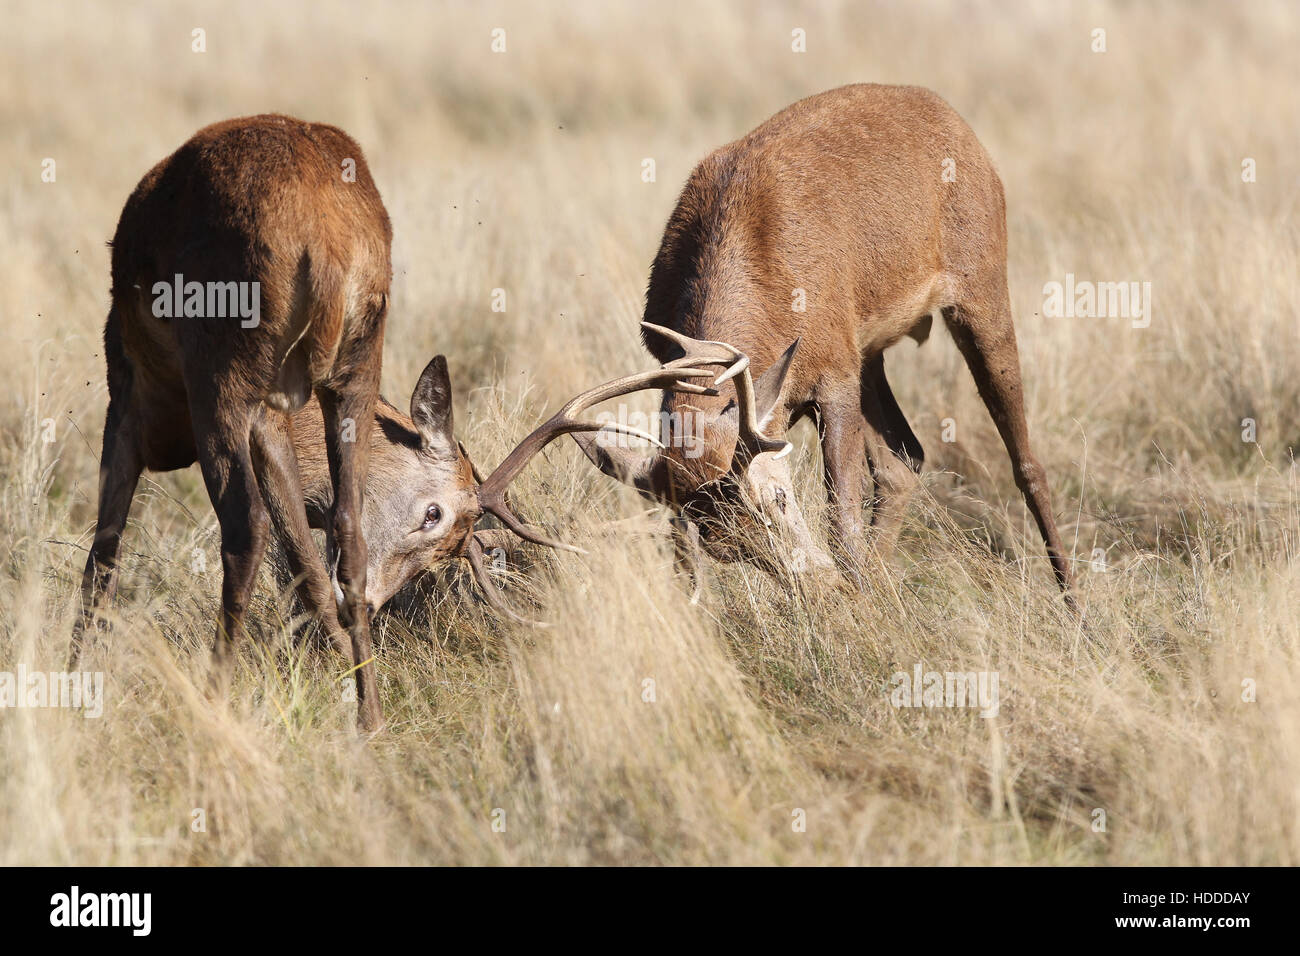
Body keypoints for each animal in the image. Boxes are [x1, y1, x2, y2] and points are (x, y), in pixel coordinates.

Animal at [70, 113, 713, 732]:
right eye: (433, 515)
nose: (381, 606)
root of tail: (327, 245)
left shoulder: (130, 385)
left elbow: (106, 543)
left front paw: (78, 676)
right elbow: (306, 558)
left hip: (222, 365)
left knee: (244, 526)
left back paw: (213, 703)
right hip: (353, 363)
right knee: (343, 533)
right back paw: (370, 715)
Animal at [574, 84, 1076, 605]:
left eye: (776, 499)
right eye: (725, 549)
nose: (819, 587)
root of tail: (951, 116)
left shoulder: (833, 376)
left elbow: (842, 519)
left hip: (980, 291)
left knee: (1025, 462)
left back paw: (1073, 601)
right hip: (869, 355)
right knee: (904, 457)